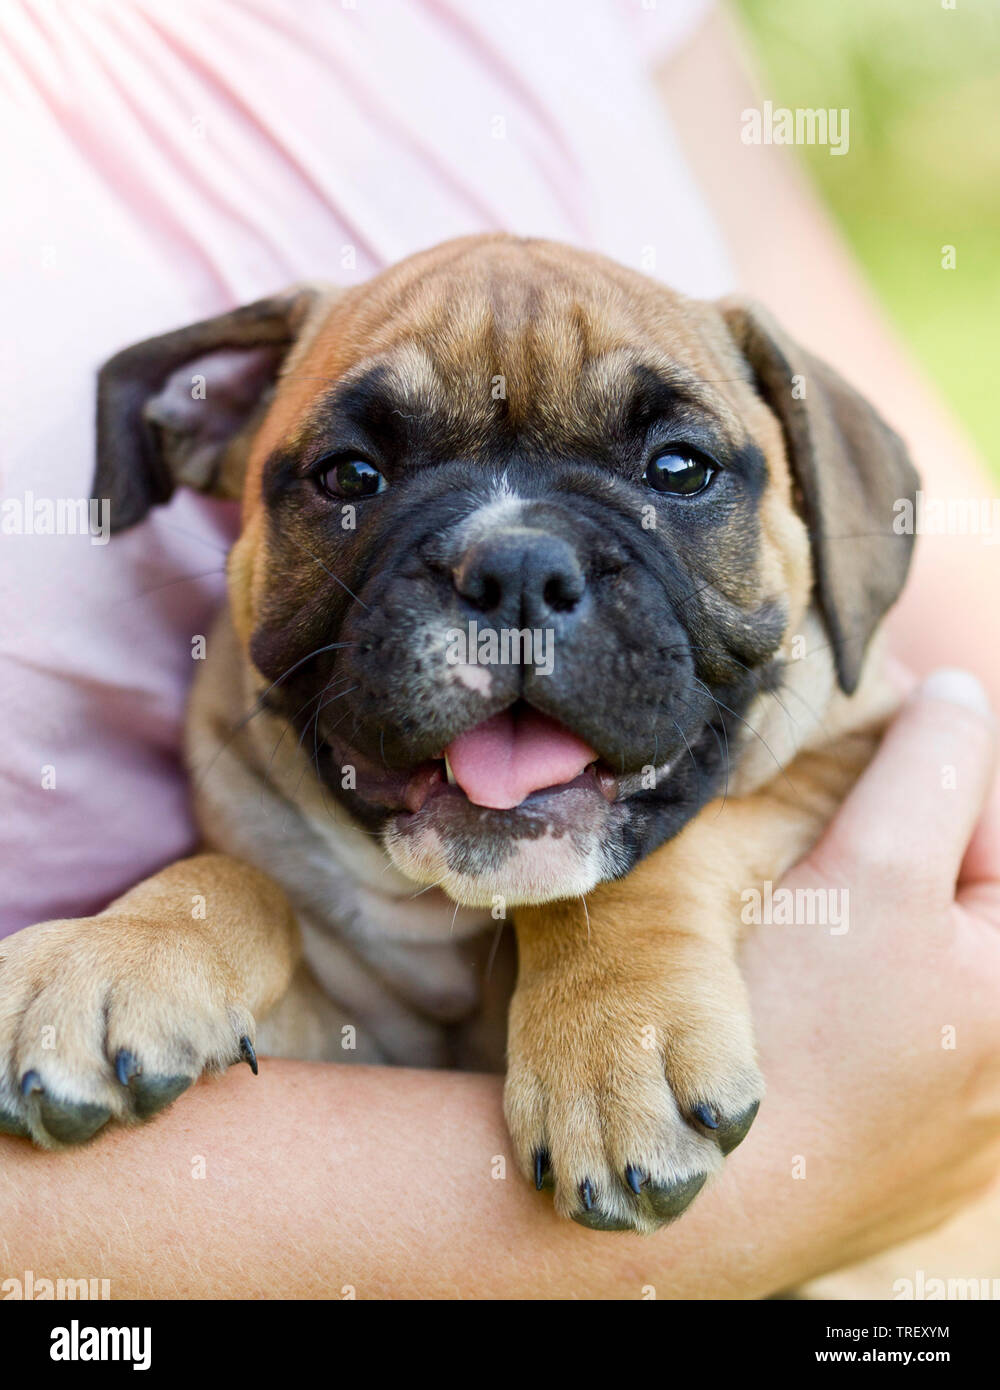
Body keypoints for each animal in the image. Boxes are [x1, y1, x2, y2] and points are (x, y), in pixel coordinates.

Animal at [0, 236, 917, 1239]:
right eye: (351, 476)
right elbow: (235, 880)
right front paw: (118, 952)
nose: (518, 567)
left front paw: (611, 1045)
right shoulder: (351, 1042)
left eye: (680, 470)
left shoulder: (852, 749)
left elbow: (641, 871)